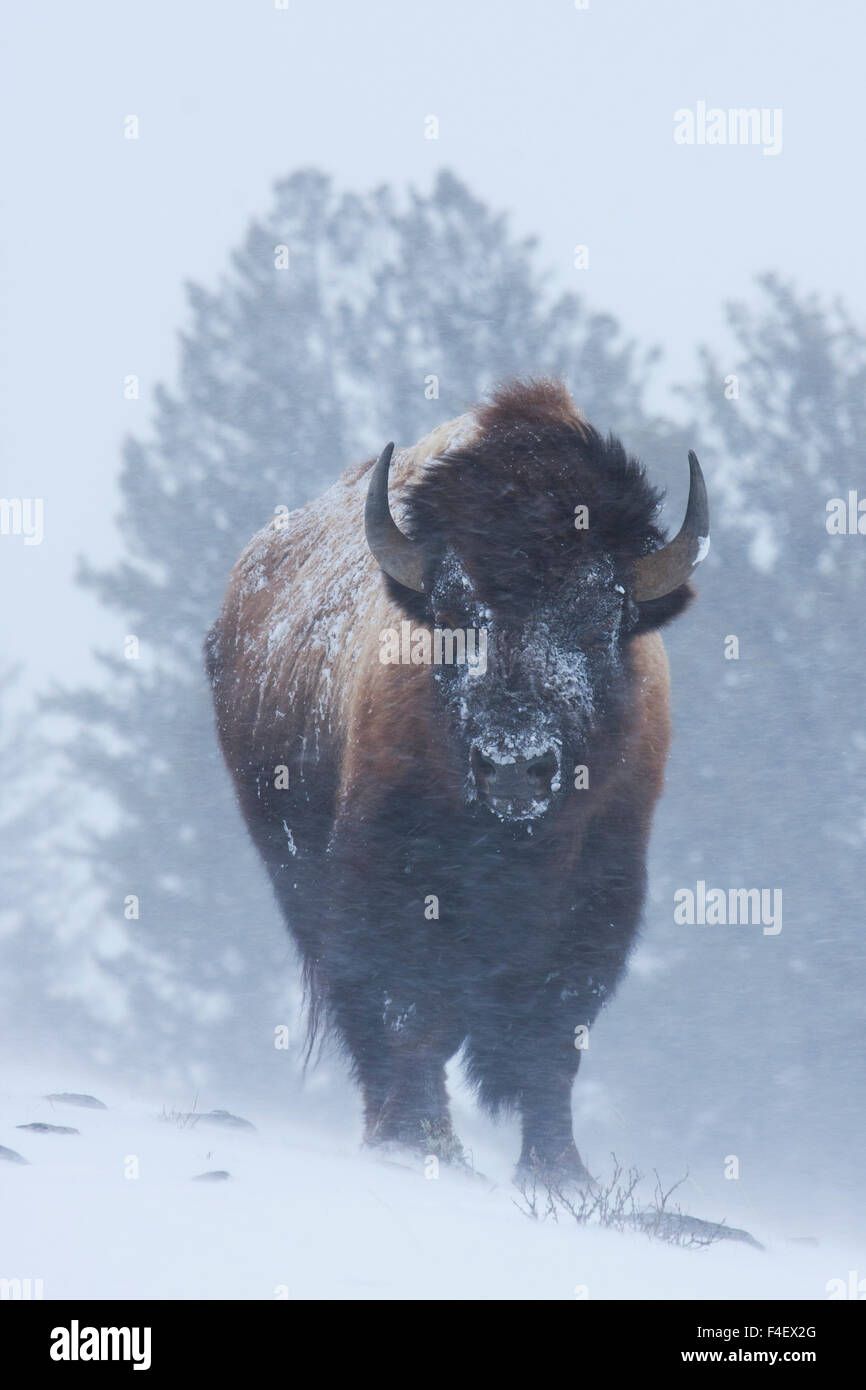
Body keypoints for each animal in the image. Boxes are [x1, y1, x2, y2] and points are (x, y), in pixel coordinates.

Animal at [206, 378, 708, 1185]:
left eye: (602, 617)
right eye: (450, 612)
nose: (513, 763)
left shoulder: (601, 893)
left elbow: (552, 1036)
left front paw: (561, 1172)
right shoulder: (393, 882)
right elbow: (412, 1009)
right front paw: (420, 1141)